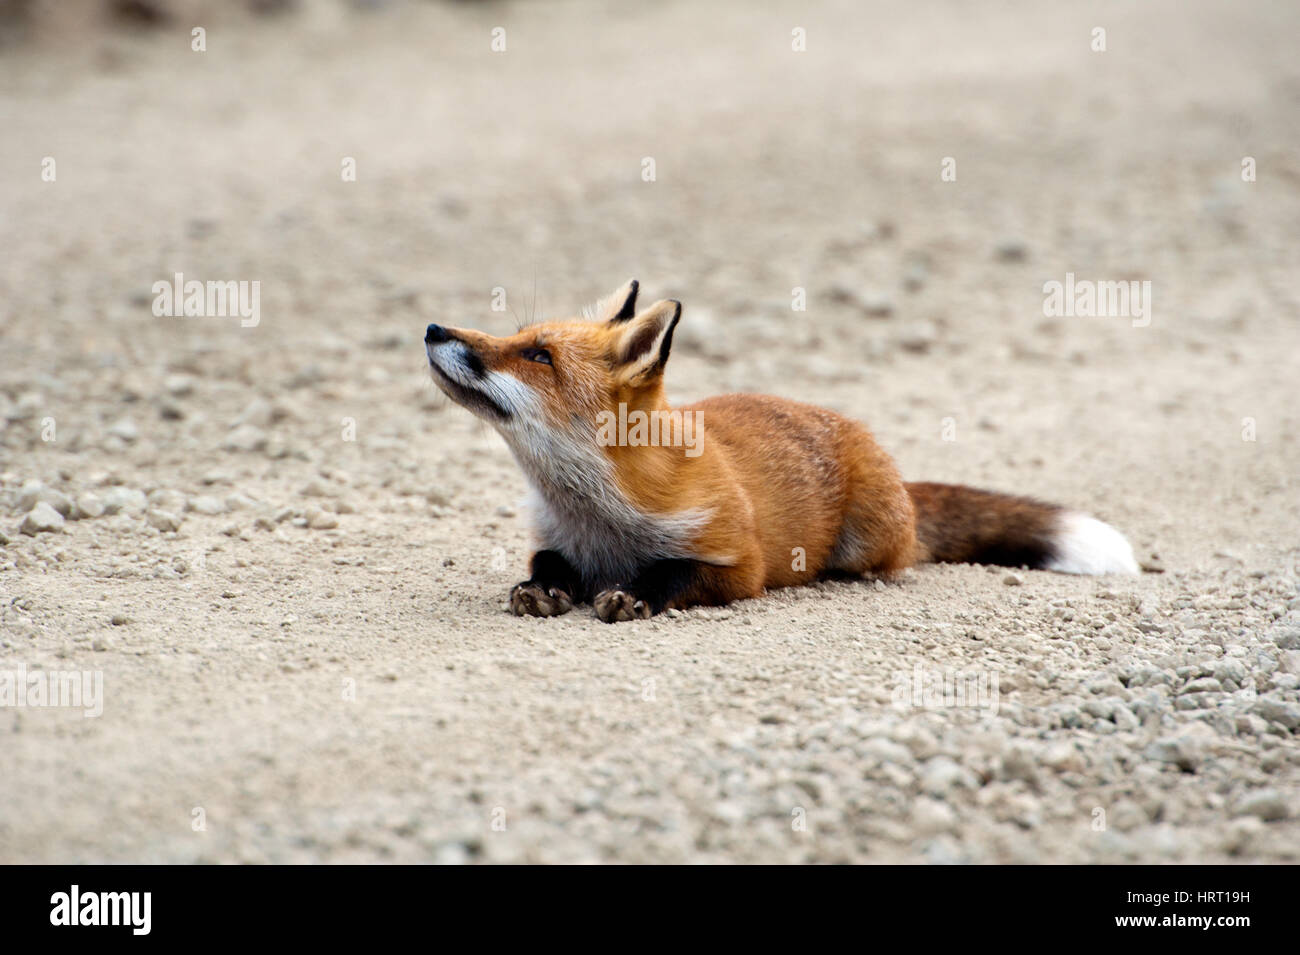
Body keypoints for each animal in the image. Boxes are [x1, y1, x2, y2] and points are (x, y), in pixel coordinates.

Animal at [425, 279, 1140, 623]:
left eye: (538, 356)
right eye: (519, 339)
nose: (432, 327)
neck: (601, 515)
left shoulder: (740, 562)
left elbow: (675, 575)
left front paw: (632, 595)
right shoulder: (554, 537)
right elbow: (547, 564)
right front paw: (543, 589)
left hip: (867, 545)